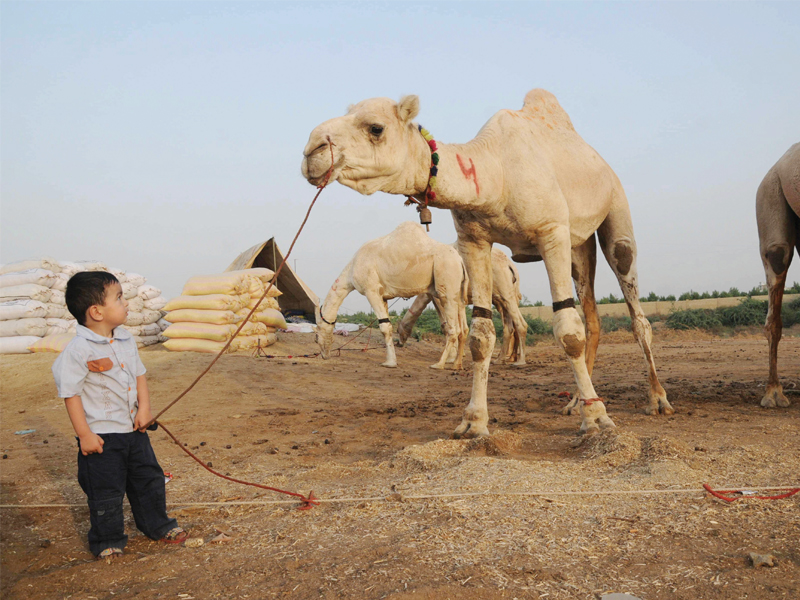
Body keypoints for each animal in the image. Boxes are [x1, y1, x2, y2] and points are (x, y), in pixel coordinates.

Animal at [315, 221, 468, 370]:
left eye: (316, 336)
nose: (323, 354)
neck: (352, 270)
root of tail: (460, 261)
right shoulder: (383, 296)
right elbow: (387, 326)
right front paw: (391, 360)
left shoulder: (371, 290)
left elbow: (384, 328)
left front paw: (390, 363)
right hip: (457, 292)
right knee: (462, 326)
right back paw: (456, 365)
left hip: (446, 281)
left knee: (453, 329)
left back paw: (439, 364)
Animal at [397, 244, 528, 366]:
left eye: (398, 330)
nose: (398, 343)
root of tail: (510, 265)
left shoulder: (440, 296)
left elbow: (446, 326)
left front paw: (450, 358)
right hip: (501, 295)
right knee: (509, 326)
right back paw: (500, 359)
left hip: (504, 287)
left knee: (520, 323)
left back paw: (519, 361)